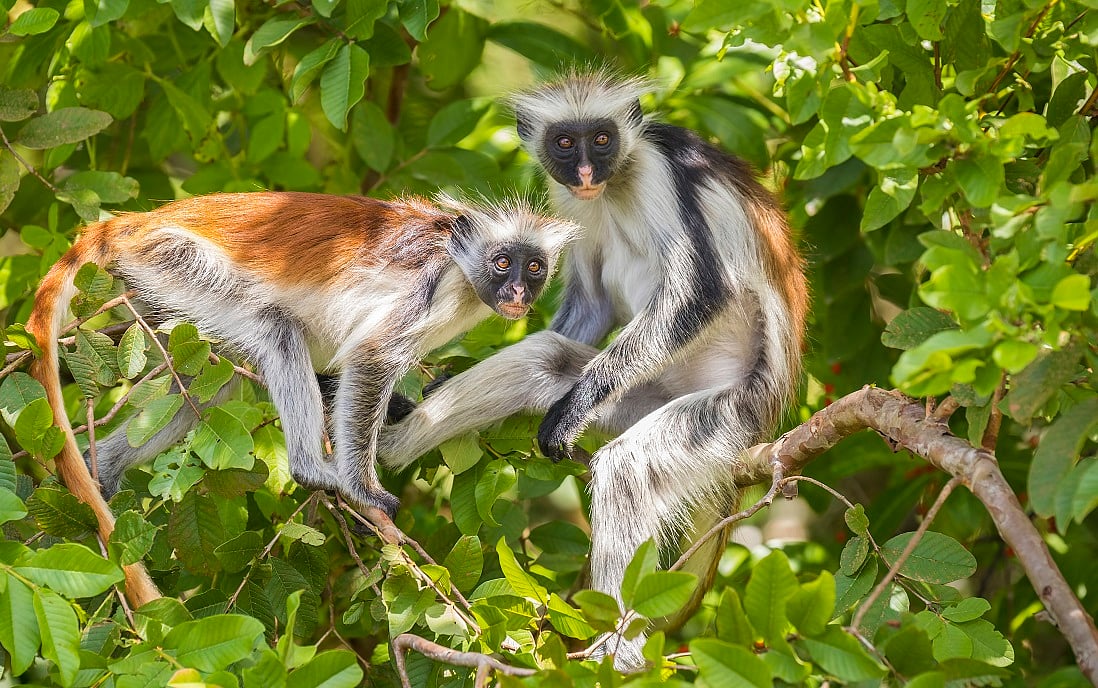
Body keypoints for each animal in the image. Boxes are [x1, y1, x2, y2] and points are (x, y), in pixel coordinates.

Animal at [25, 191, 575, 608]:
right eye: (502, 263)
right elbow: (371, 357)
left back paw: (104, 468)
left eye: (534, 266)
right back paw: (313, 470)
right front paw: (363, 489)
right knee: (277, 328)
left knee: (212, 383)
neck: (459, 263)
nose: (518, 291)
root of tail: (137, 221)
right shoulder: (429, 286)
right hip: (172, 259)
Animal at [378, 72, 808, 669]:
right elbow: (591, 304)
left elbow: (700, 292)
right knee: (545, 359)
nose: (585, 172)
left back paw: (618, 655)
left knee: (627, 467)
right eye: (565, 143)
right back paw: (385, 445)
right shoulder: (569, 202)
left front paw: (572, 410)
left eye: (602, 140)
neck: (614, 184)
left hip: (729, 410)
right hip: (642, 394)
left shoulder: (658, 171)